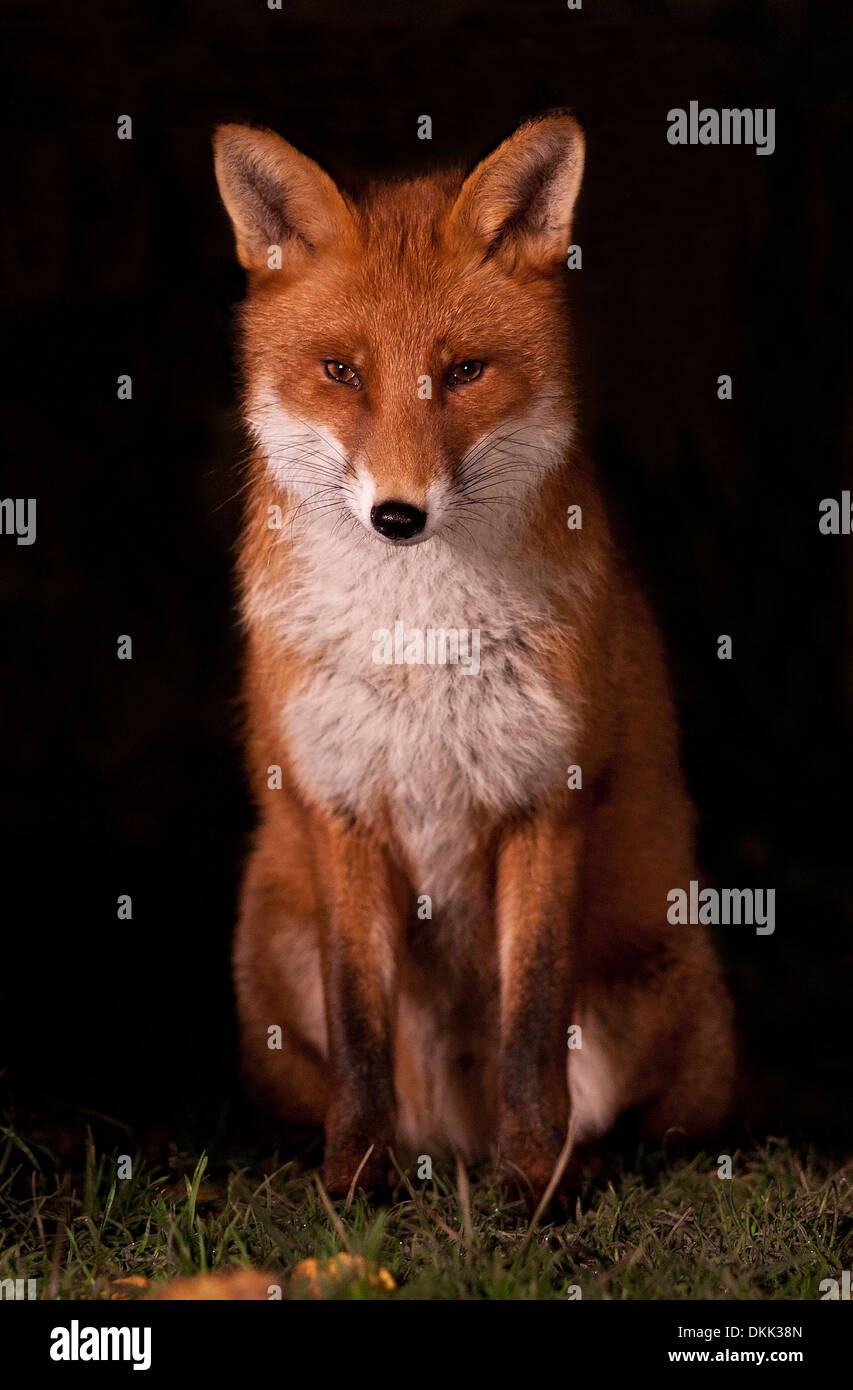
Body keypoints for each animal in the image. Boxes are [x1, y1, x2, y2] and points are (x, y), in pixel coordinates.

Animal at [212, 111, 735, 1202]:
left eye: (463, 372)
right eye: (341, 371)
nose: (398, 514)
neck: (418, 641)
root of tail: (447, 1135)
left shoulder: (546, 799)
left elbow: (529, 1026)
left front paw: (535, 1186)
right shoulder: (339, 807)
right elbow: (360, 1030)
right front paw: (353, 1183)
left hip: (659, 994)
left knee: (663, 1125)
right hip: (267, 943)